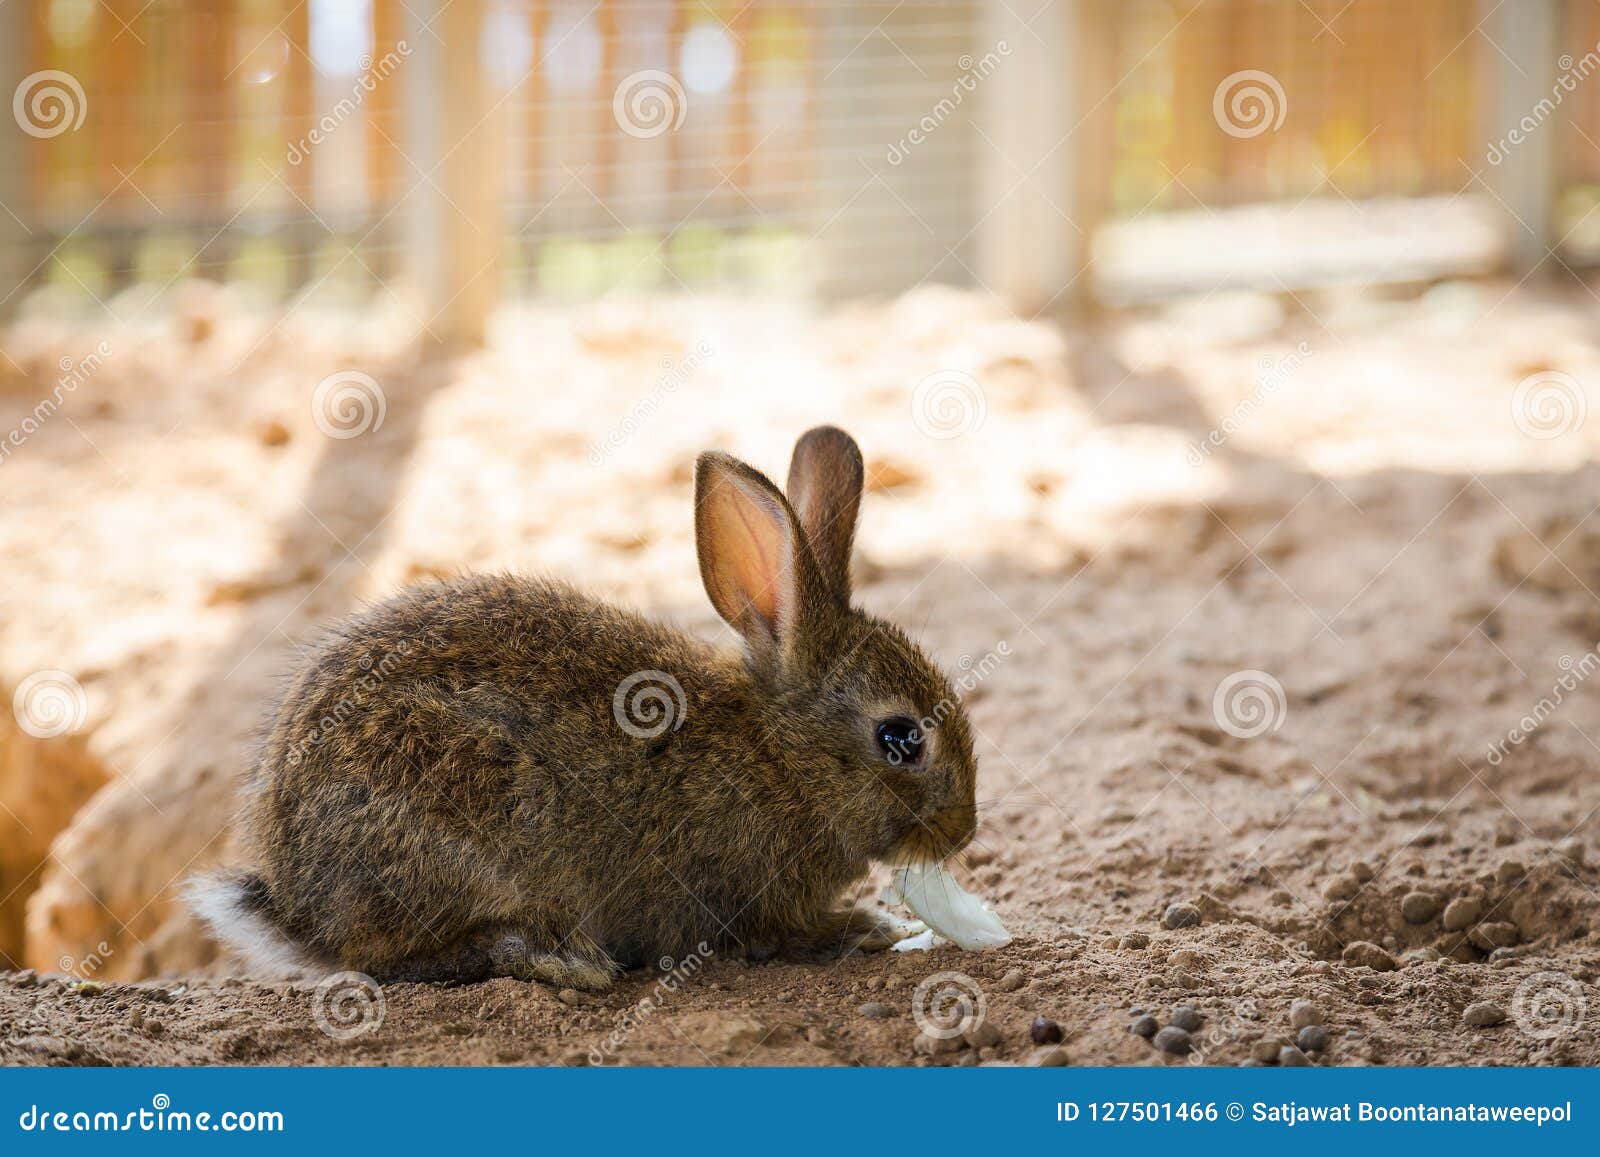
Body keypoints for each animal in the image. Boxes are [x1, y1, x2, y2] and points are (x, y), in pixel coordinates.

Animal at [188, 426, 978, 990]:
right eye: (901, 738)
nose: (963, 830)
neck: (780, 755)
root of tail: (298, 903)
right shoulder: (745, 898)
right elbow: (776, 935)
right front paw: (868, 924)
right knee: (396, 956)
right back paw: (557, 959)